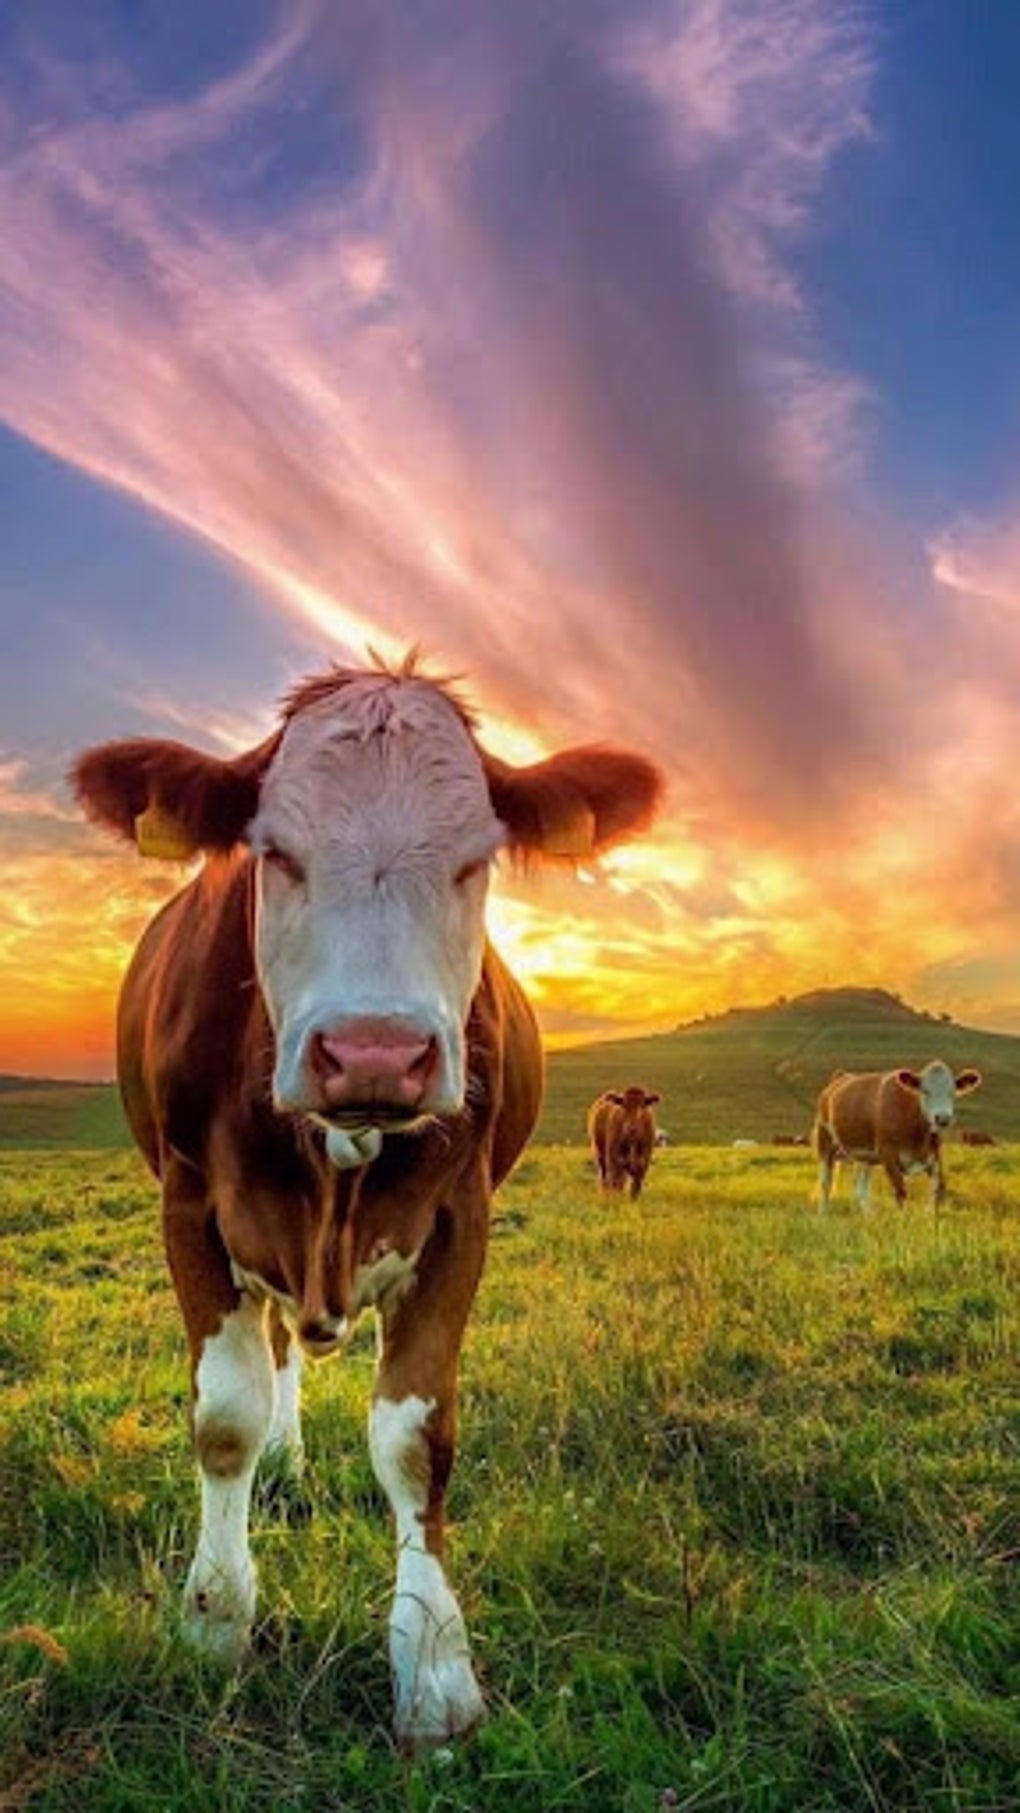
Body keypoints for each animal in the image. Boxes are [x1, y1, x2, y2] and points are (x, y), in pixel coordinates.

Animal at [73, 660, 661, 1751]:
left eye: (476, 860)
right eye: (274, 853)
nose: (376, 1053)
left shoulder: (459, 1218)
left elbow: (416, 1441)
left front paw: (433, 1670)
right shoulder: (189, 1201)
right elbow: (226, 1418)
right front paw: (214, 1622)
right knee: (274, 1356)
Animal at [813, 1061, 982, 1211]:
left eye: (952, 1092)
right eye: (925, 1091)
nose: (942, 1118)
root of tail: (841, 1076)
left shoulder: (934, 1155)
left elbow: (938, 1191)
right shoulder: (888, 1154)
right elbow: (900, 1192)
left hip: (866, 1157)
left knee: (861, 1188)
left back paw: (870, 1218)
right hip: (825, 1139)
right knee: (825, 1183)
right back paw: (823, 1215)